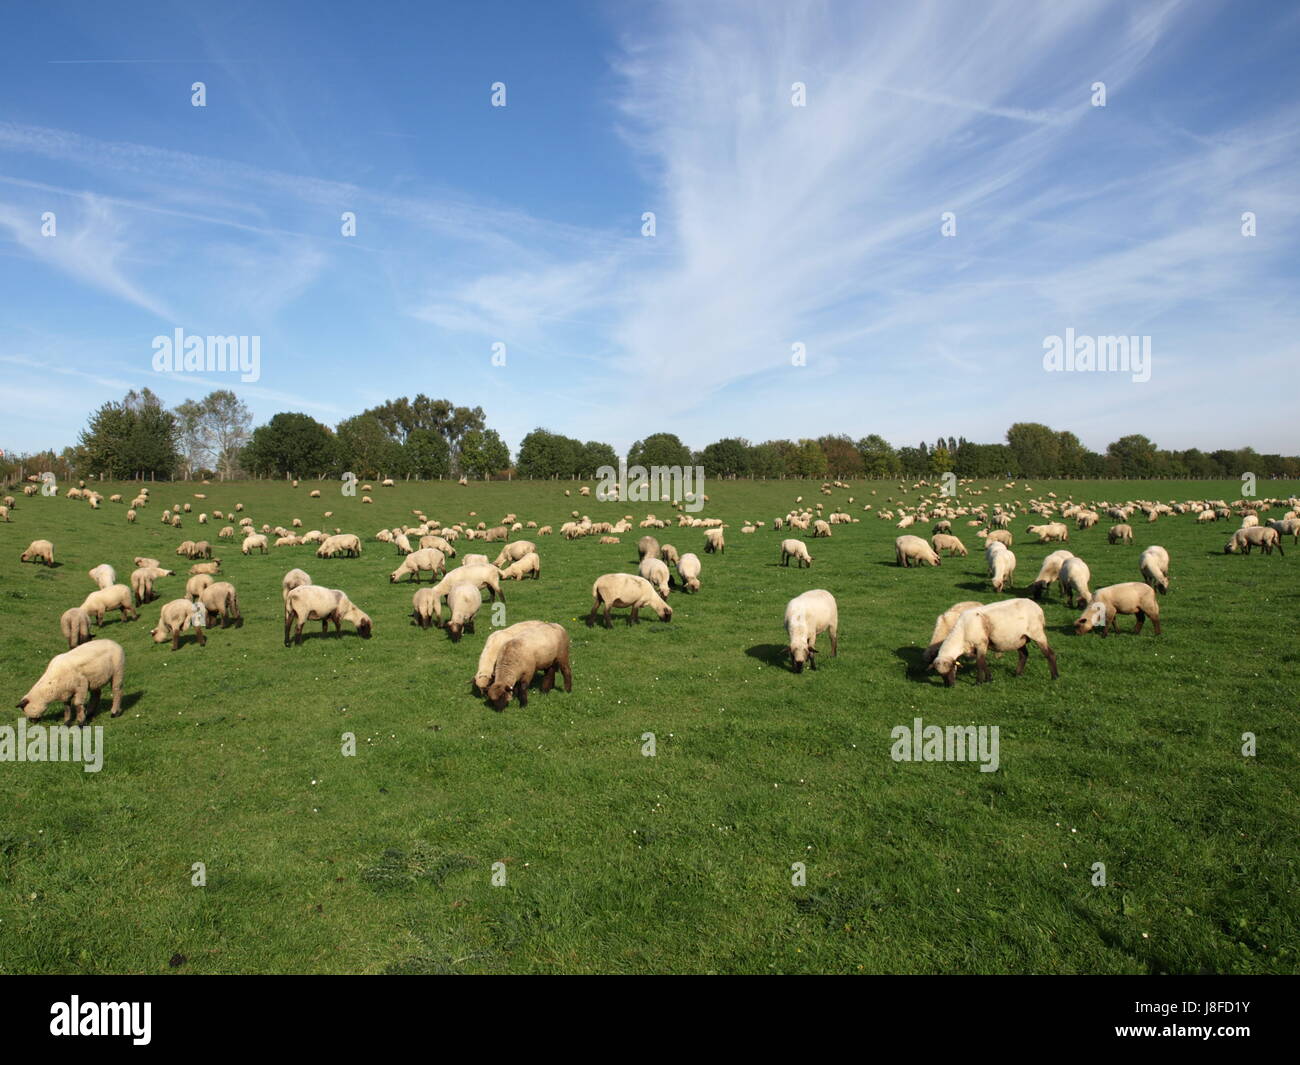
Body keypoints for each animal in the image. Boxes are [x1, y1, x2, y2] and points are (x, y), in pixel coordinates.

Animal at [928, 599, 1058, 686]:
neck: (962, 634)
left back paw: (1055, 676)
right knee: (1023, 655)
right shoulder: (976, 648)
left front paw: (979, 682)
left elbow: (980, 662)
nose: (949, 686)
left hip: (1037, 634)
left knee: (1050, 654)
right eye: (940, 675)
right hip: (1019, 639)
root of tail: (1037, 606)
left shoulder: (981, 644)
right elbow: (983, 662)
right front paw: (989, 678)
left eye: (951, 669)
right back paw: (1017, 674)